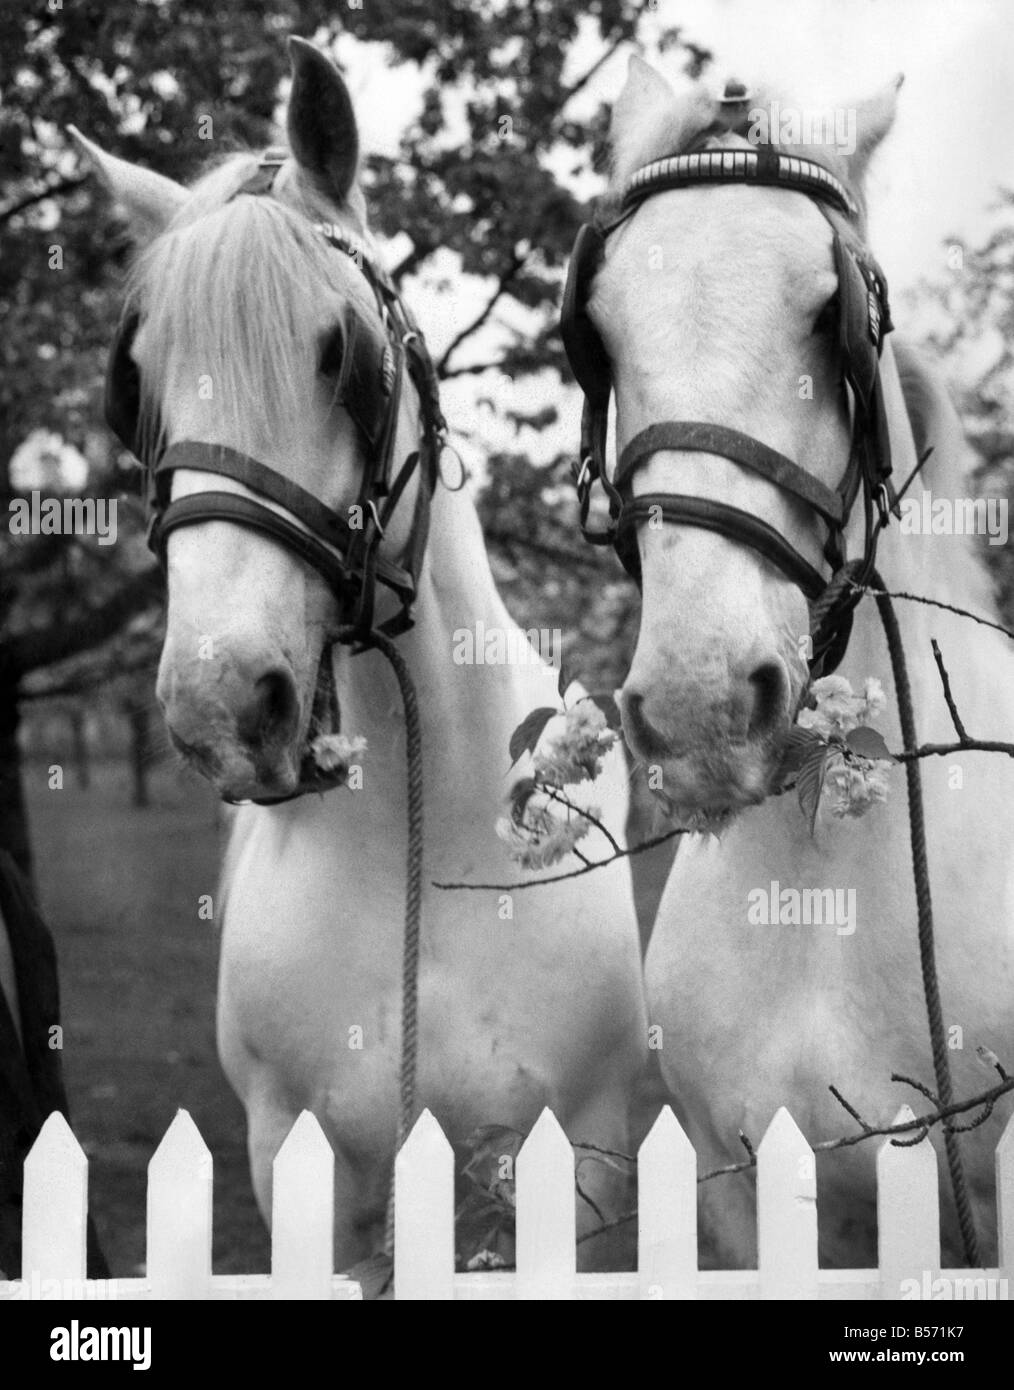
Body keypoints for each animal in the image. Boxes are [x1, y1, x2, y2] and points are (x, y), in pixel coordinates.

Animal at [71, 38, 647, 1270]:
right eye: (131, 388)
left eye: (346, 357)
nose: (220, 704)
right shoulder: (298, 1165)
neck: (418, 862)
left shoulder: (582, 1163)